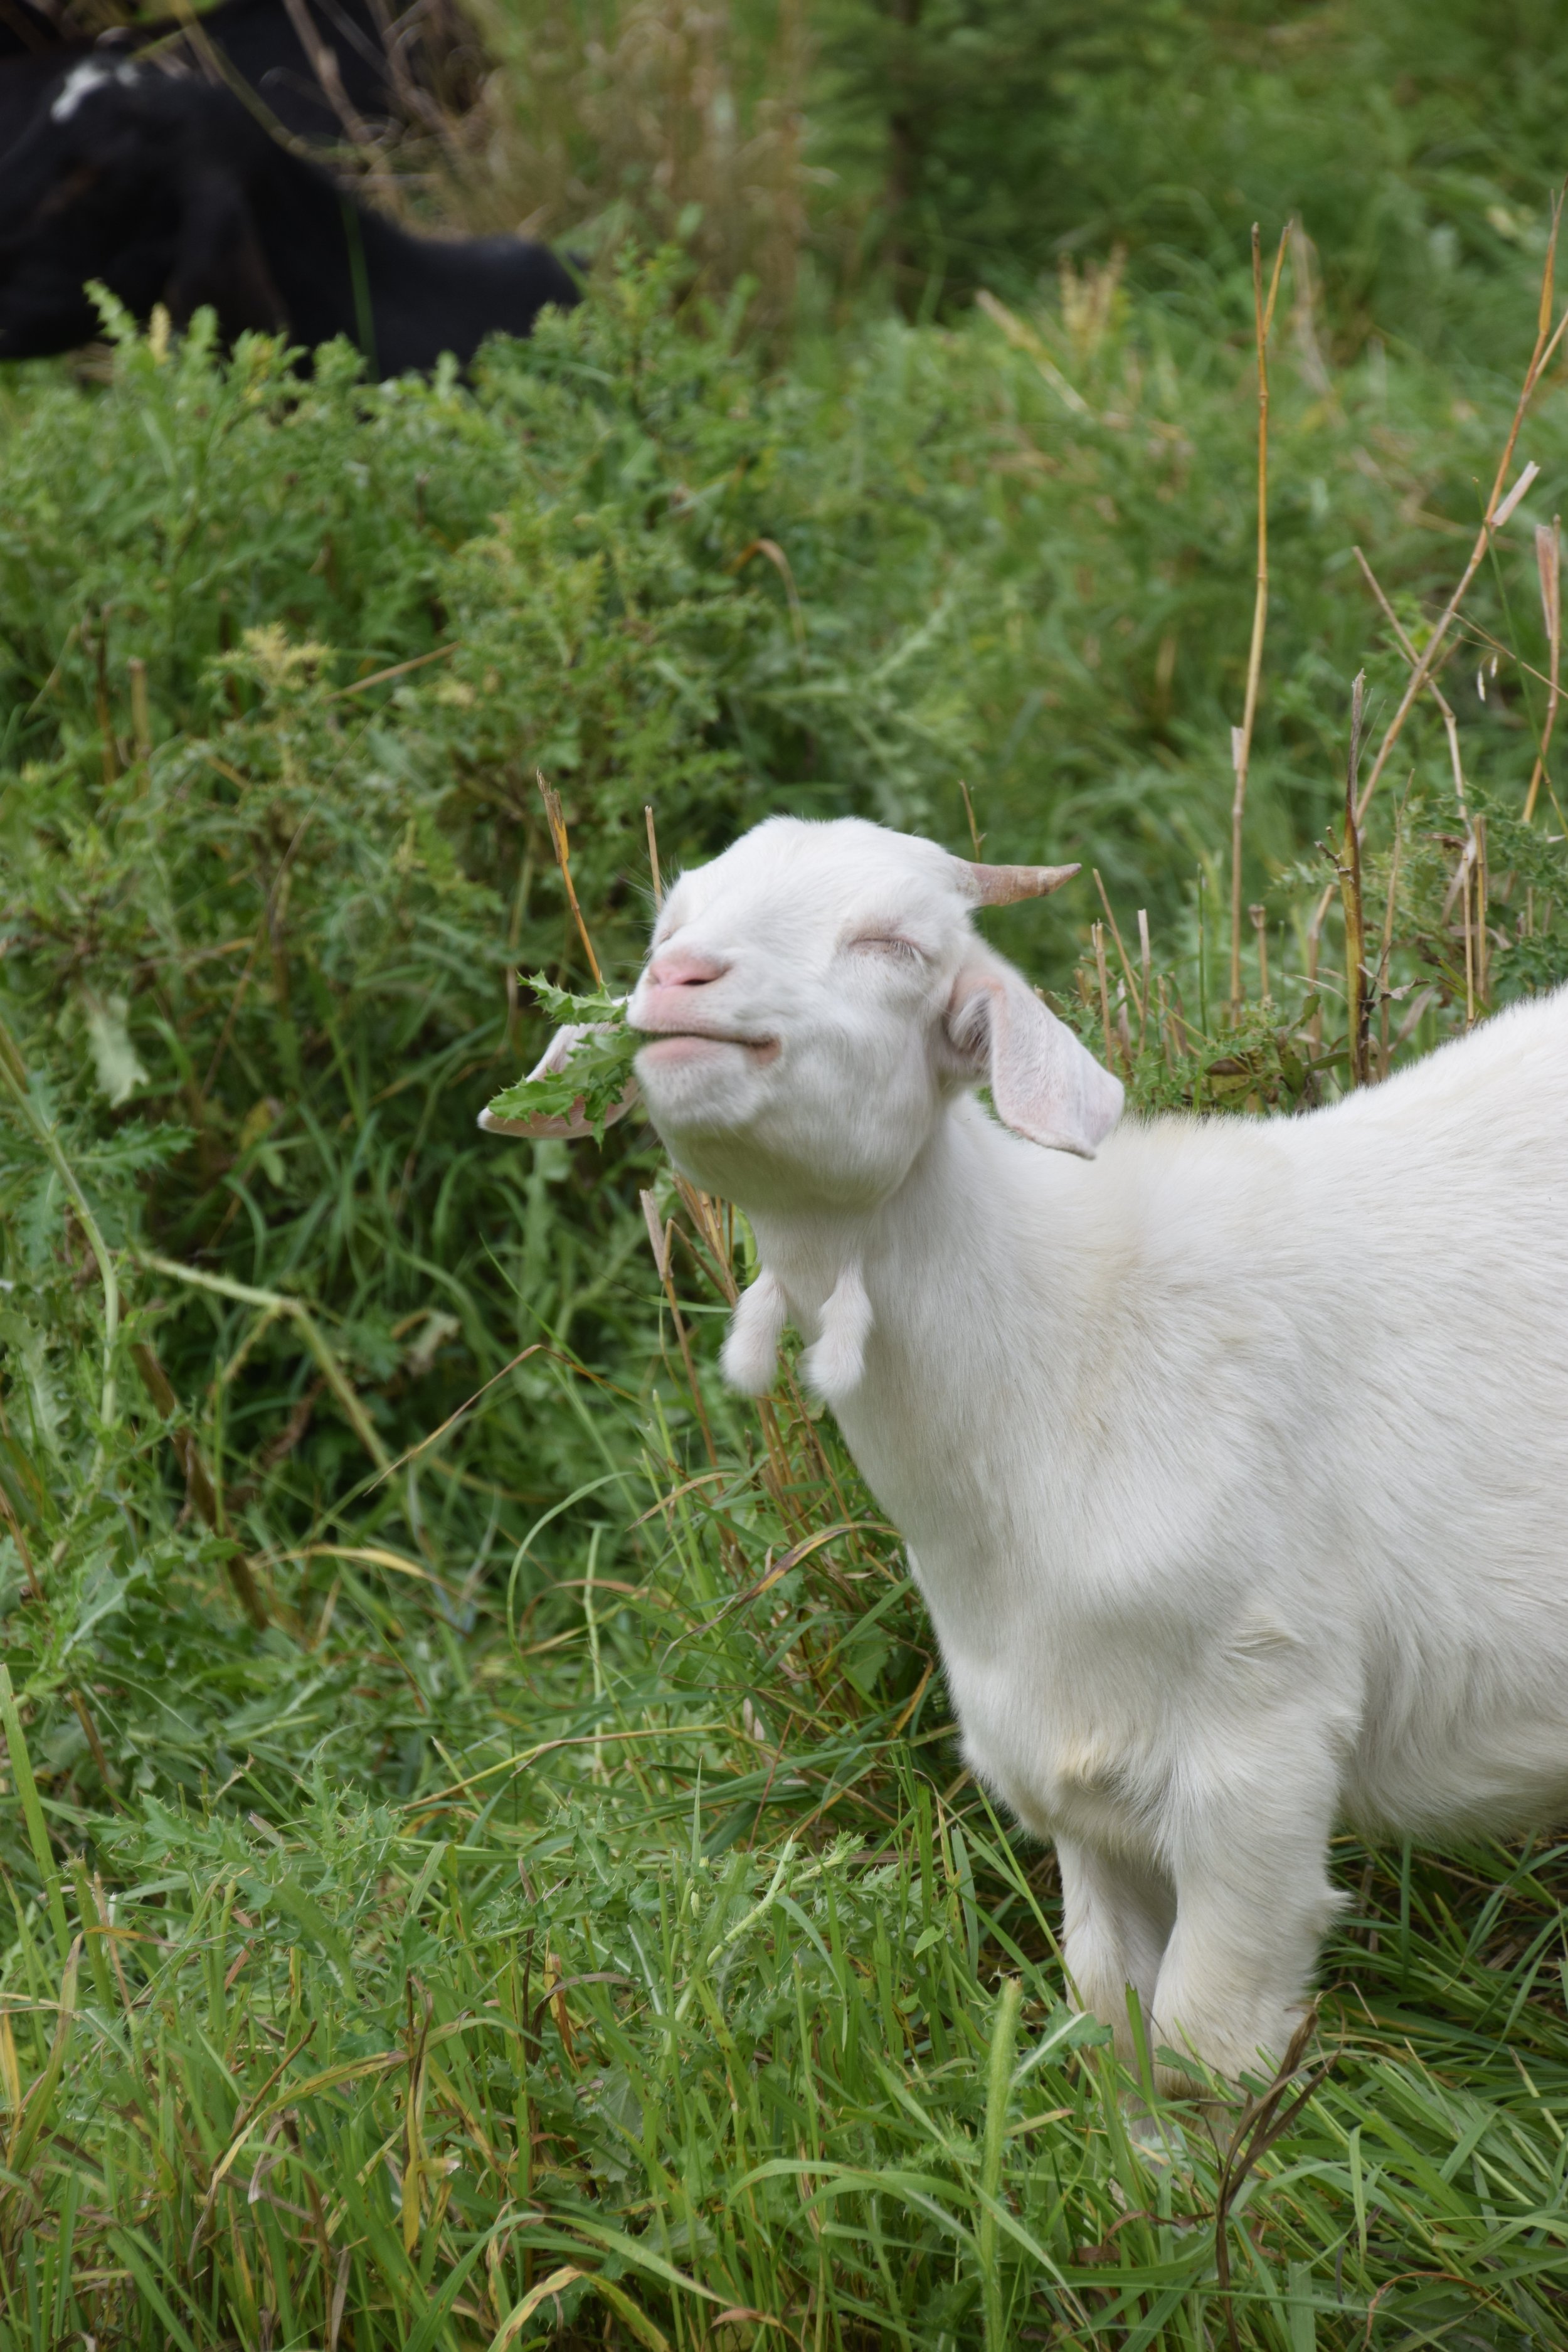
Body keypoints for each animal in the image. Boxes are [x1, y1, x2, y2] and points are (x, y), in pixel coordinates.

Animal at [482, 813, 1568, 2088]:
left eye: (897, 943)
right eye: (671, 920)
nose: (681, 981)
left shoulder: (1263, 1745)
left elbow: (1204, 2036)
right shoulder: (1076, 1782)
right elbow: (1113, 2019)